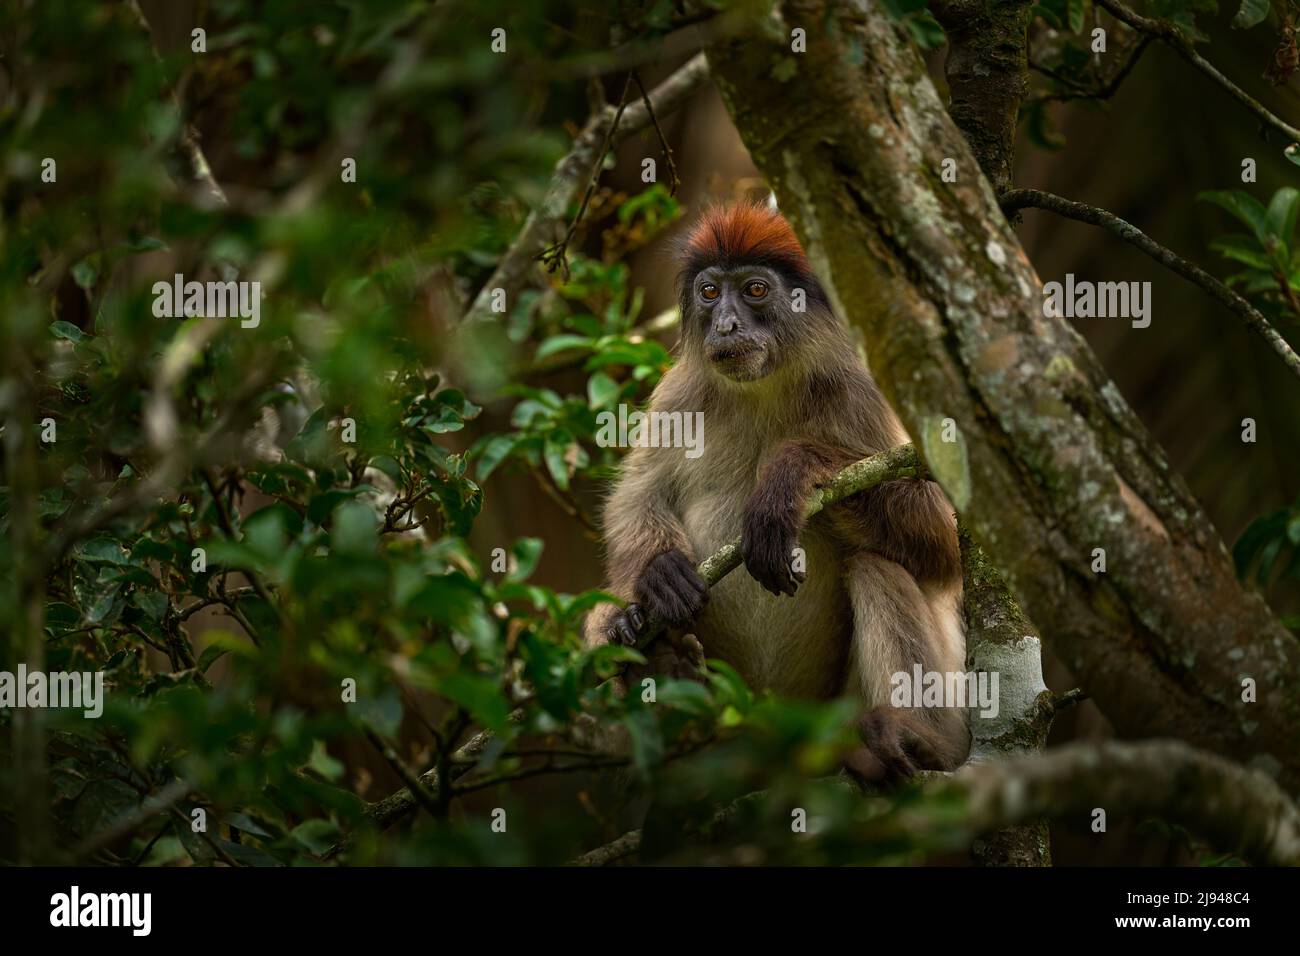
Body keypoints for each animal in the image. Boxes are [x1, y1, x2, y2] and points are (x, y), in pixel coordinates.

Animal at [584, 202, 968, 782]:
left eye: (756, 290)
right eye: (710, 292)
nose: (725, 324)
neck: (768, 387)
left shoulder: (862, 390)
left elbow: (945, 542)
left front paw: (788, 473)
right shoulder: (681, 392)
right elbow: (637, 497)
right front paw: (657, 573)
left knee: (877, 568)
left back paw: (923, 743)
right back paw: (657, 653)